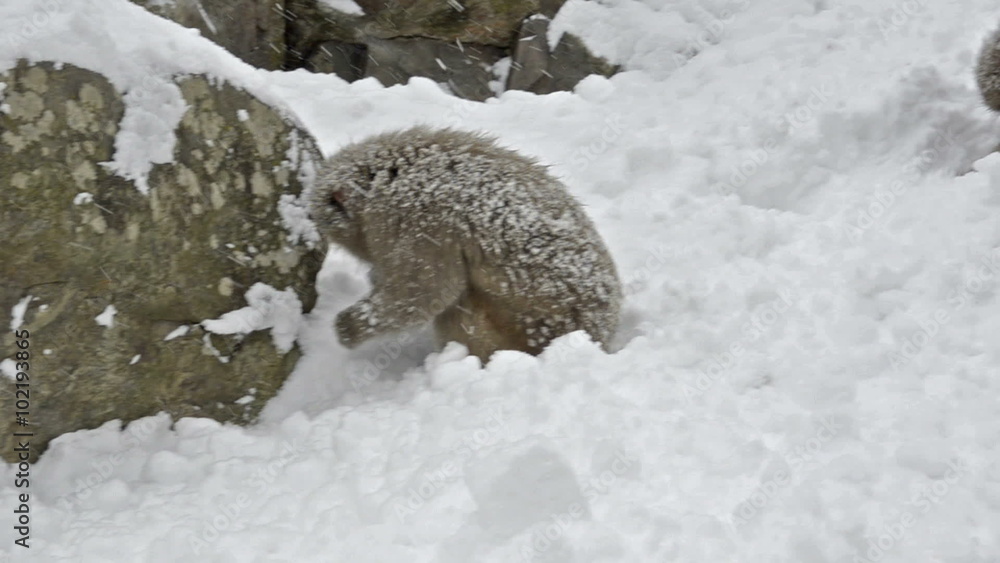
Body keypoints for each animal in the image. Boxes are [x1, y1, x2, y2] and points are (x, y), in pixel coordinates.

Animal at [307, 126, 623, 362]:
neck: (384, 182)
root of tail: (600, 337)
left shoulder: (420, 220)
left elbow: (425, 293)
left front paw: (350, 326)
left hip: (532, 328)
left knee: (461, 302)